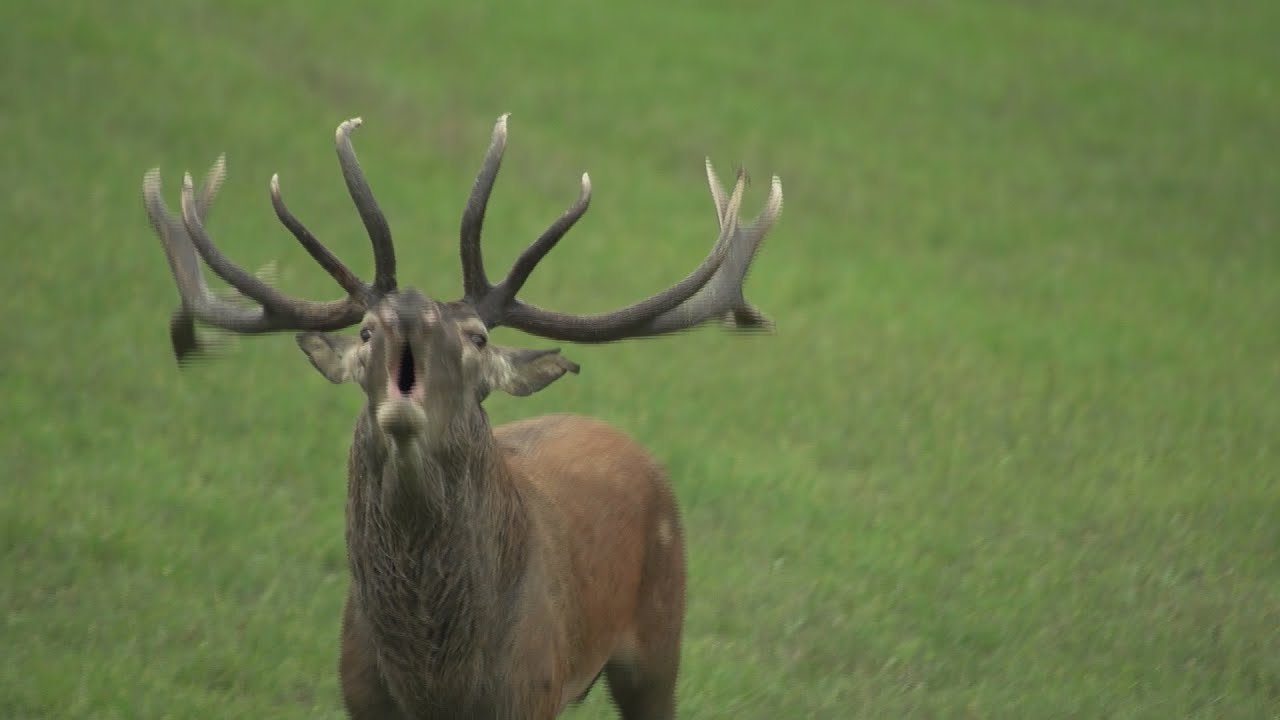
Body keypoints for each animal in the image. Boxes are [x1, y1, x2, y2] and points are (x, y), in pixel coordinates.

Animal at [141, 114, 782, 720]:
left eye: (476, 337)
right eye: (366, 331)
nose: (409, 307)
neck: (436, 682)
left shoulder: (530, 692)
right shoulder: (359, 693)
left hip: (660, 636)